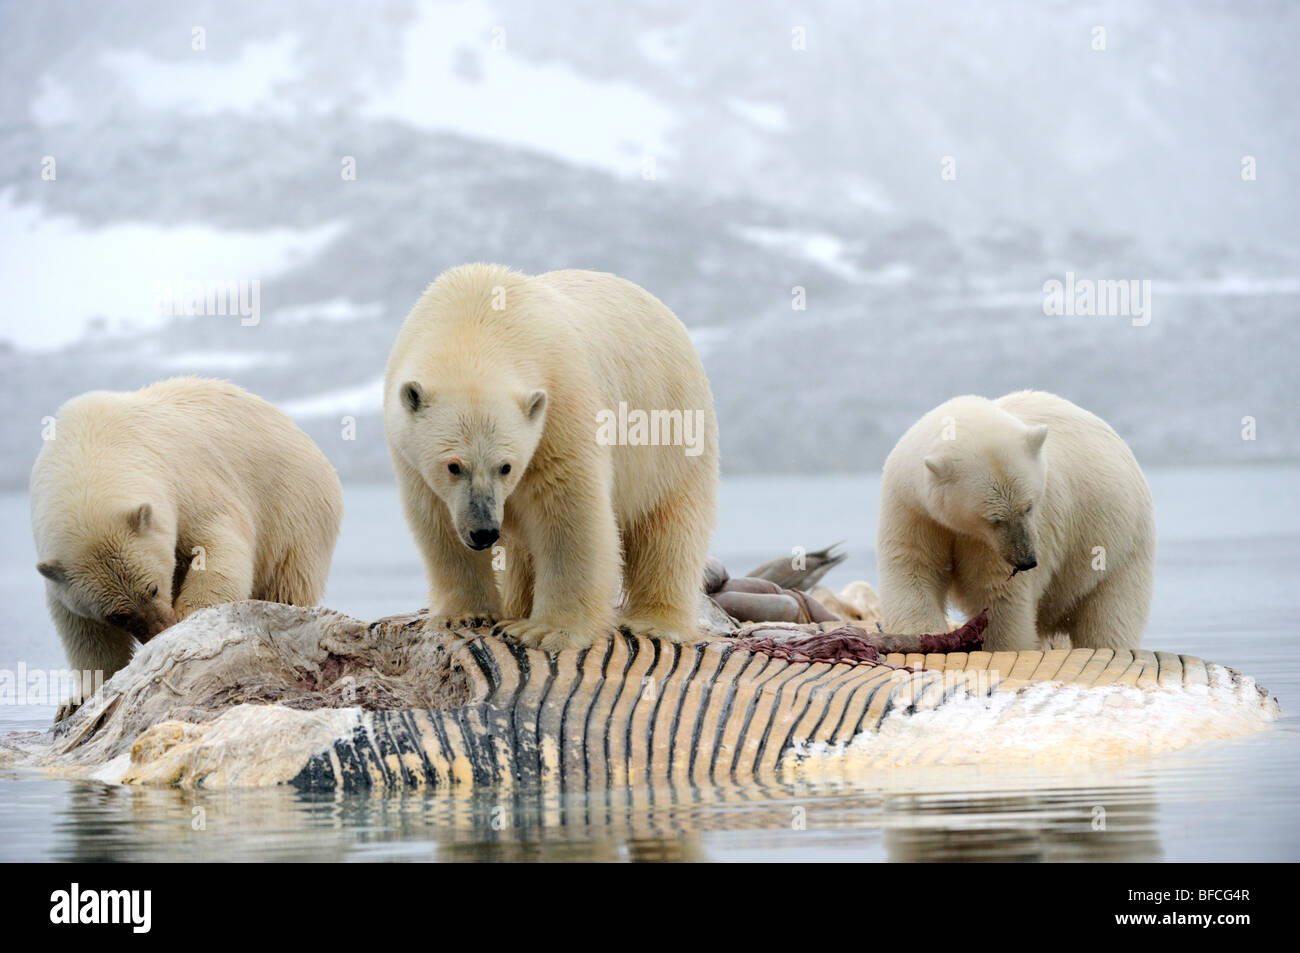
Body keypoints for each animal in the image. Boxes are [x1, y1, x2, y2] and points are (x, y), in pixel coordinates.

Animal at [30, 377, 344, 719]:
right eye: (117, 615)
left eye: (153, 588)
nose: (159, 632)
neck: (92, 446)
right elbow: (84, 631)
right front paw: (77, 700)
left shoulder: (183, 480)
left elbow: (214, 546)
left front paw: (188, 620)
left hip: (292, 509)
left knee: (286, 582)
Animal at [384, 264, 719, 651]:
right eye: (453, 466)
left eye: (506, 466)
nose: (484, 532)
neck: (476, 319)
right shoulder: (409, 455)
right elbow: (437, 522)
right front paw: (466, 614)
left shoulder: (559, 408)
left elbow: (568, 512)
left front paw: (546, 629)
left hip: (671, 433)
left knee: (668, 529)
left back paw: (654, 621)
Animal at [876, 390, 1155, 652]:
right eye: (994, 519)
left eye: (1029, 507)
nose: (1027, 560)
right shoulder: (912, 507)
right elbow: (914, 565)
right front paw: (925, 634)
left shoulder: (1001, 540)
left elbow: (997, 592)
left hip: (1118, 543)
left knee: (1109, 614)